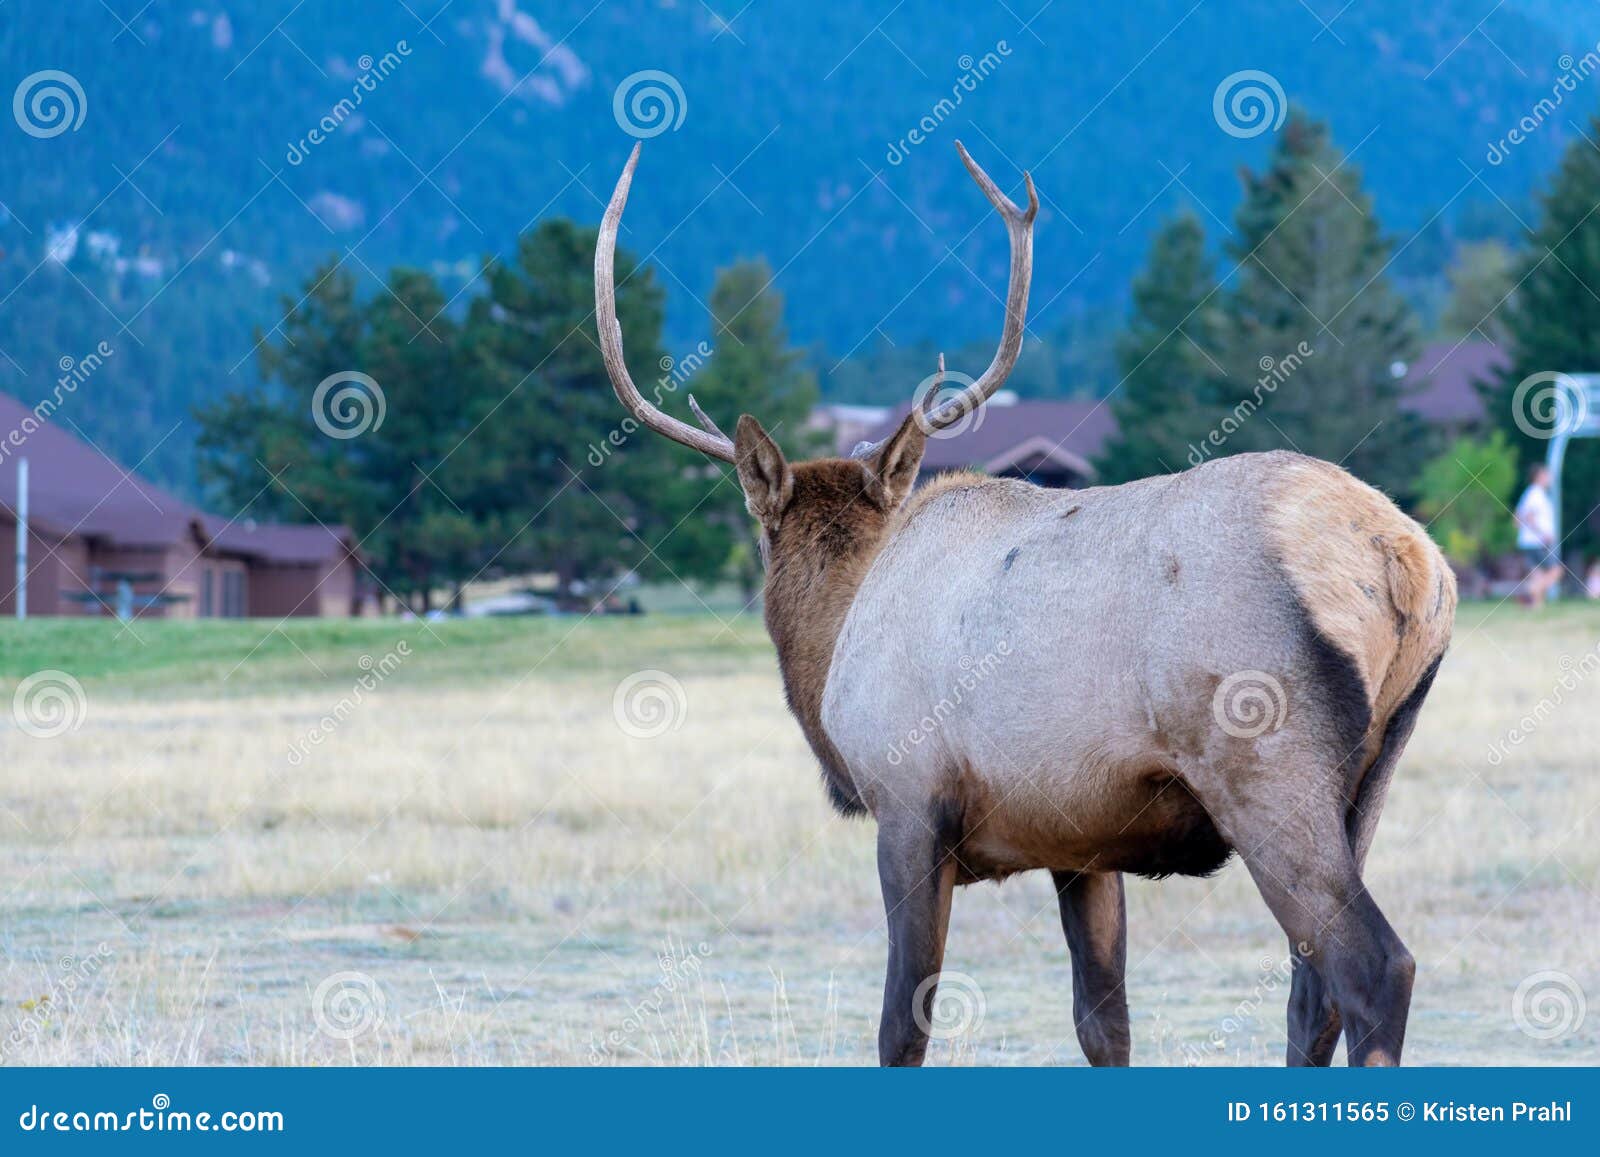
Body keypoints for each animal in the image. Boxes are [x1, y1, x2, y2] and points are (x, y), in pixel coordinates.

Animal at [594, 140, 1456, 1068]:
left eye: (760, 534)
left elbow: (902, 1024)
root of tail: (1408, 561)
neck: (835, 651)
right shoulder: (1082, 843)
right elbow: (1104, 1025)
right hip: (1373, 772)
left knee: (1374, 965)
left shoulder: (908, 802)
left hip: (1264, 761)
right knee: (1310, 993)